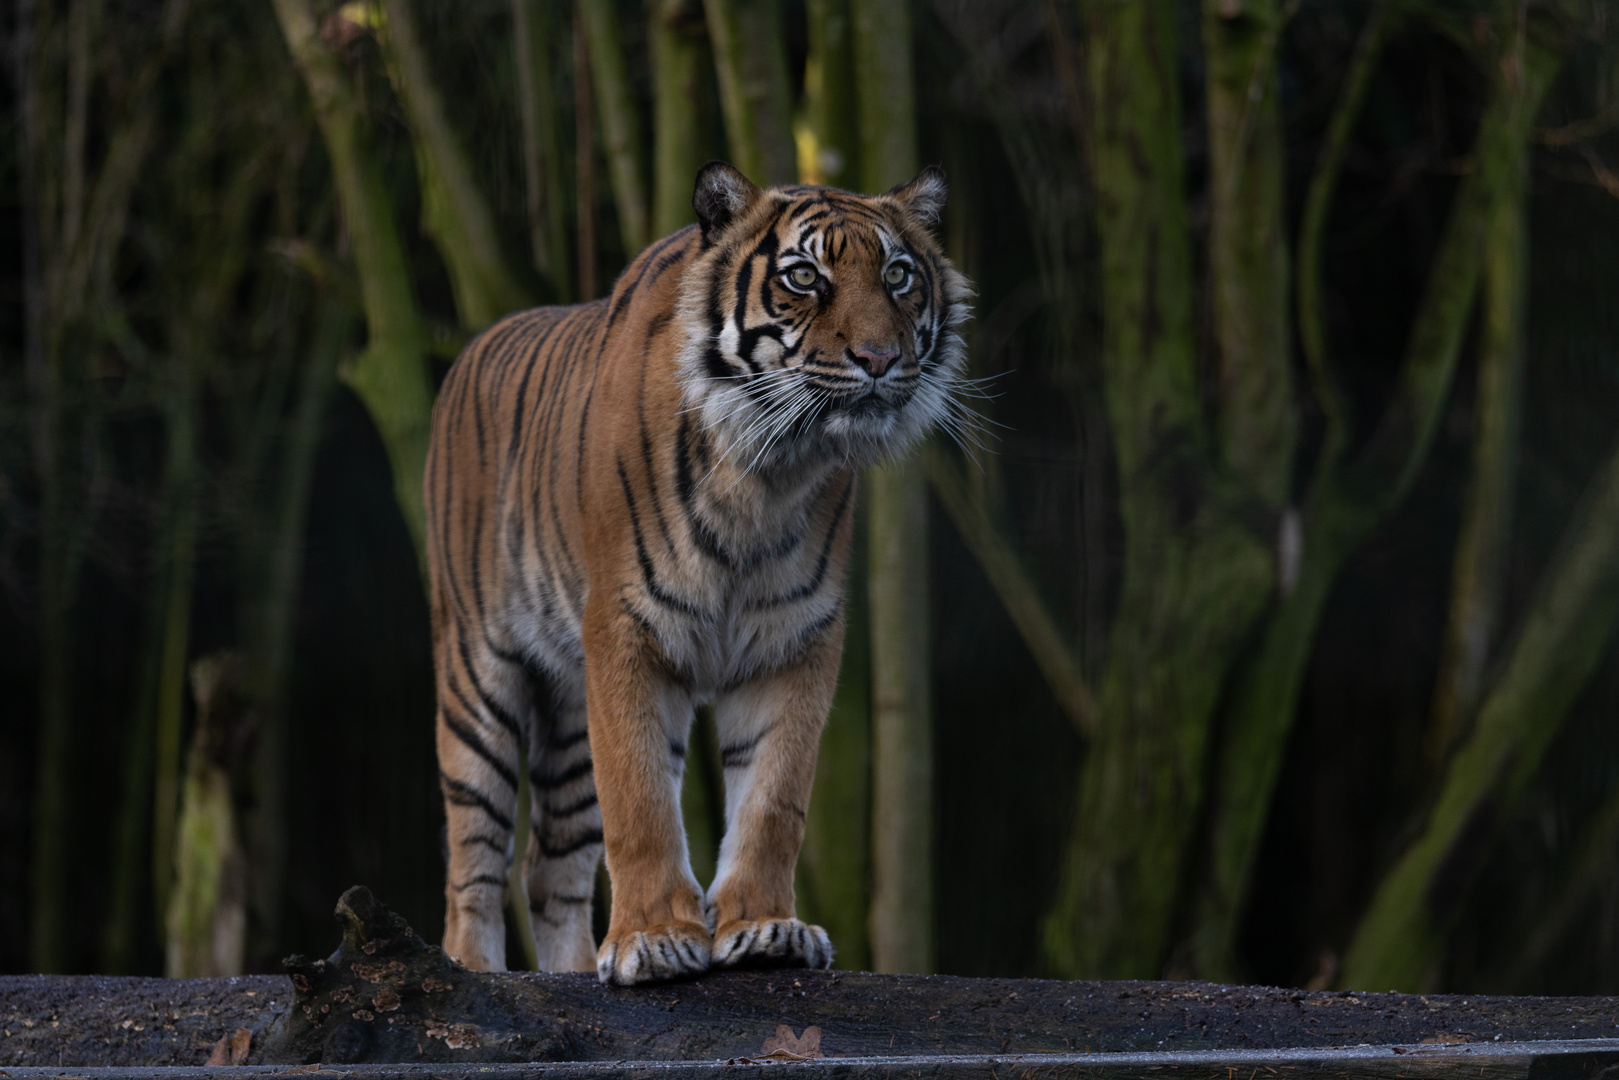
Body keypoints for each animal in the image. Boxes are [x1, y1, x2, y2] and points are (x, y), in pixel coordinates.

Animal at [424, 161, 972, 985]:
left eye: (898, 275)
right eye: (804, 277)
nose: (878, 359)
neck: (766, 473)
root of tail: (468, 354)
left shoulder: (795, 639)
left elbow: (774, 802)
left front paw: (764, 928)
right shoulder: (625, 632)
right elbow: (641, 802)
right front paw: (652, 939)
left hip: (567, 704)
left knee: (550, 867)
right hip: (477, 678)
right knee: (474, 867)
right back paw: (474, 972)